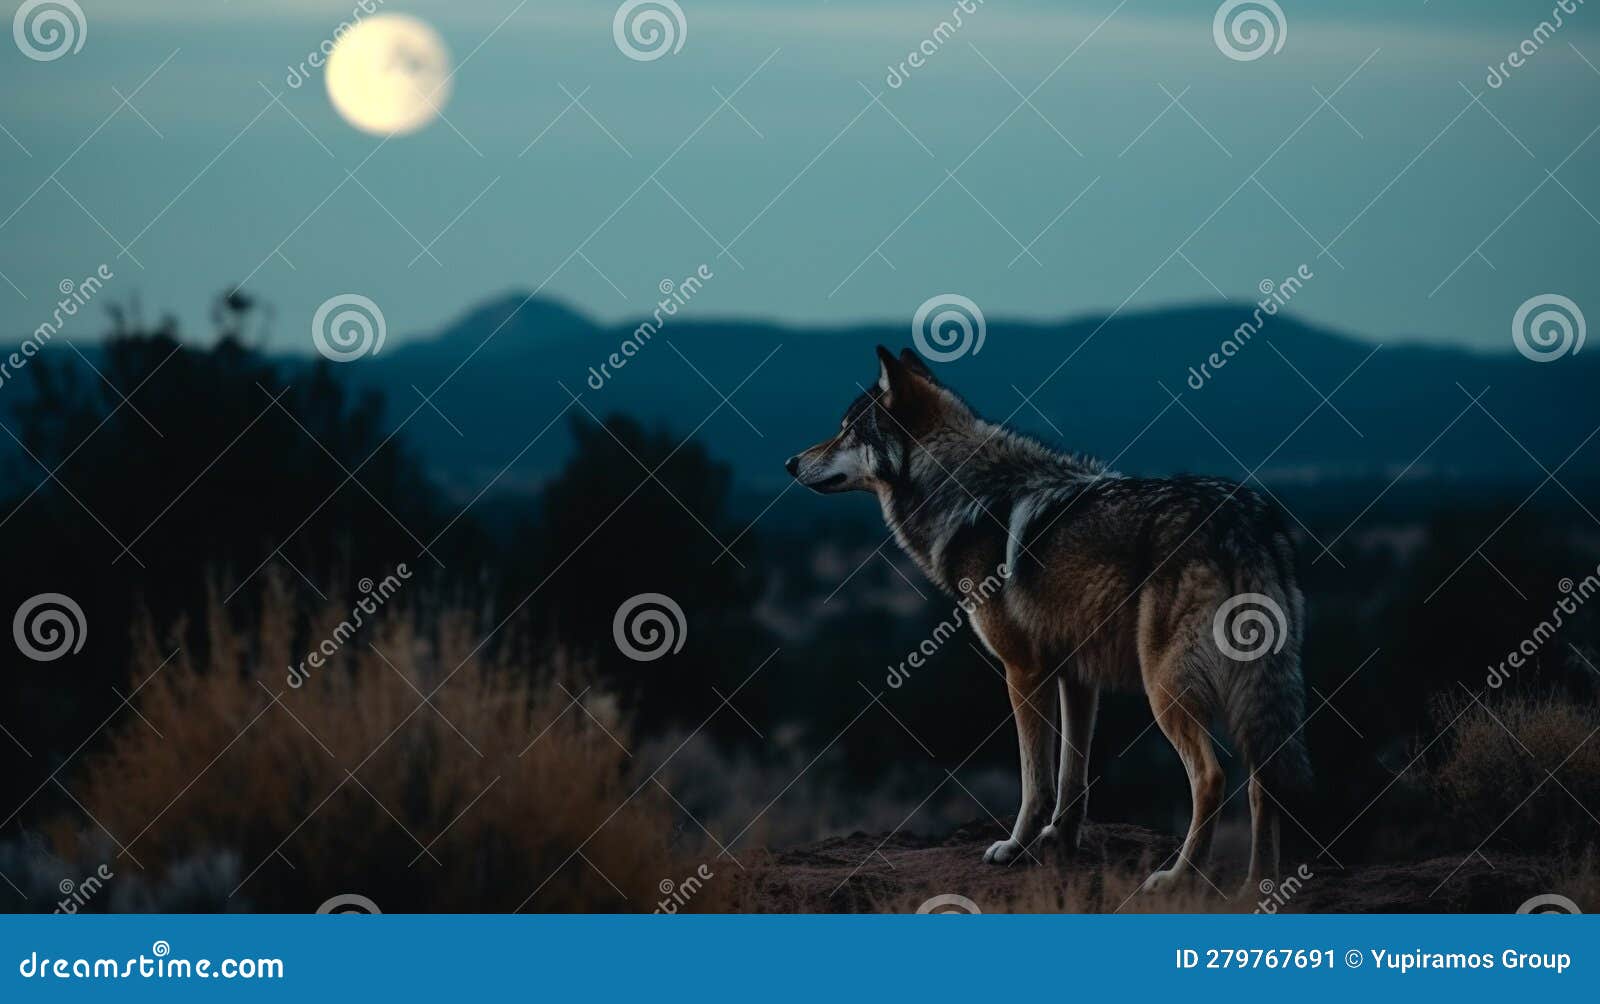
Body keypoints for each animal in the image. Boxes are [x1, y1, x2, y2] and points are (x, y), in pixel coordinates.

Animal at [784, 347, 1309, 894]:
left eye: (847, 430)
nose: (790, 463)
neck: (961, 492)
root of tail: (1246, 521)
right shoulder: (1076, 678)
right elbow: (1072, 776)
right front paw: (1062, 843)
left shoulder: (1023, 671)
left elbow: (1035, 780)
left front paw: (1015, 848)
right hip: (1249, 697)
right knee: (1264, 782)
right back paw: (1257, 885)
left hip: (1166, 689)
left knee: (1211, 779)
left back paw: (1177, 877)